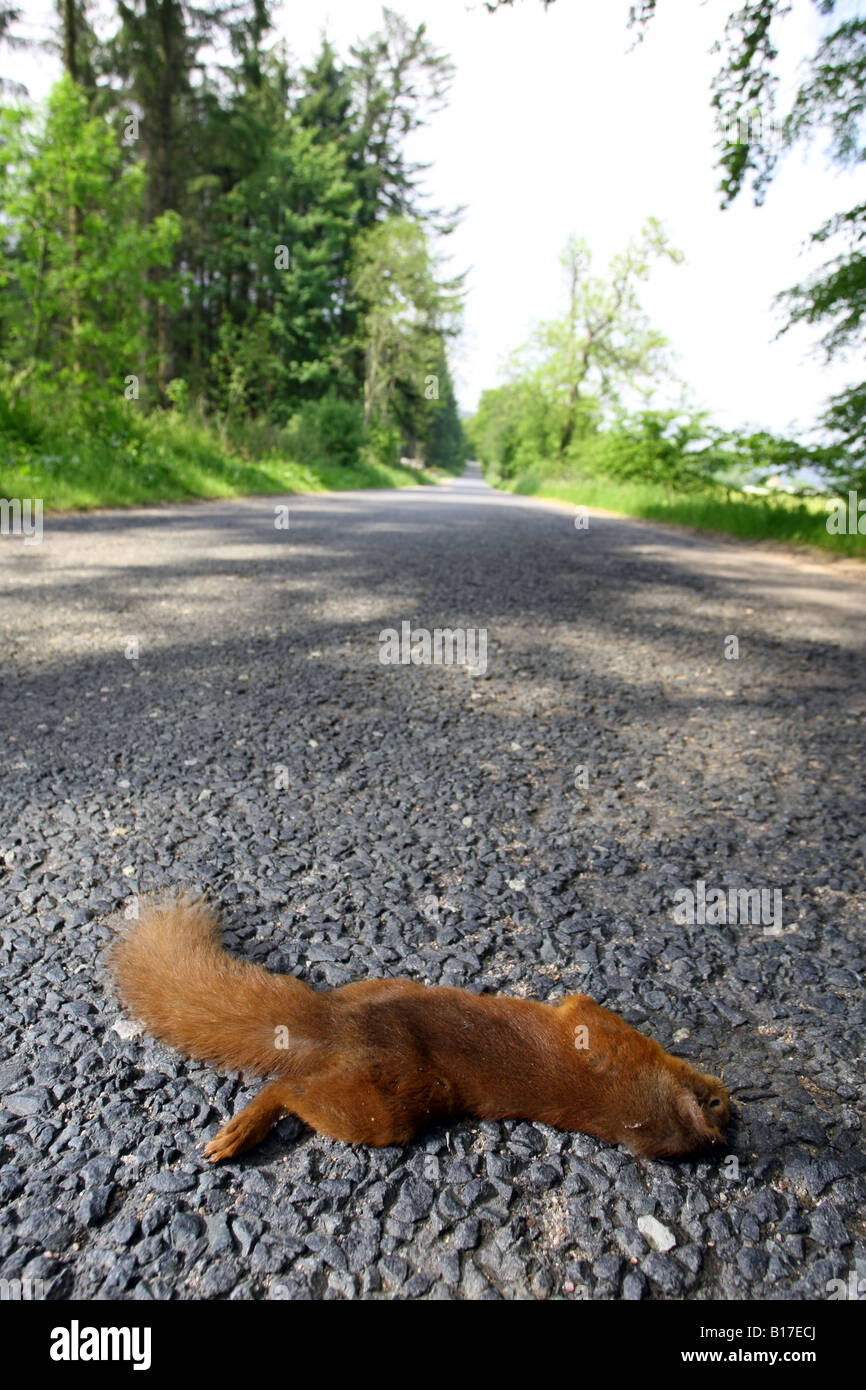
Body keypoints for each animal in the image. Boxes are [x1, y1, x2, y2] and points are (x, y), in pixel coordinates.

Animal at [107, 891, 730, 1163]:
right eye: (716, 1102)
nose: (733, 1101)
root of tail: (343, 1027)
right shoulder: (600, 1031)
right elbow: (583, 1006)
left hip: (385, 1082)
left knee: (294, 1088)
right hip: (385, 1068)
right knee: (288, 1088)